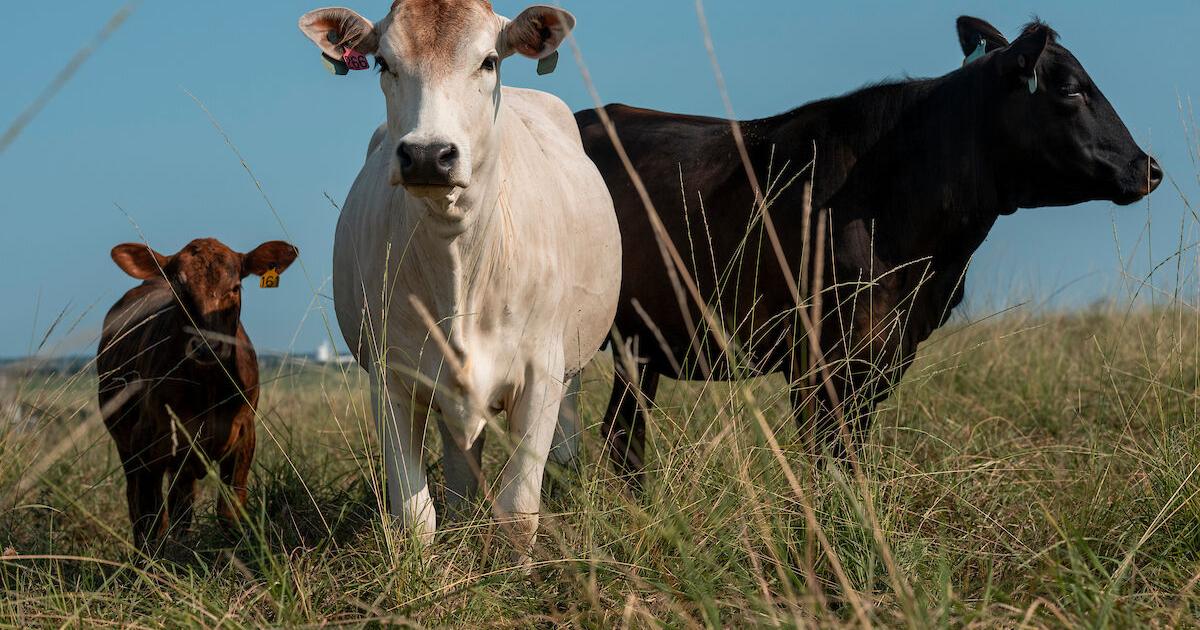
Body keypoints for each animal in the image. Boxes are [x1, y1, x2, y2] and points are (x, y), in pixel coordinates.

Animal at [97, 238, 298, 548]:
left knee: (181, 505)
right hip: (127, 445)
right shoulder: (147, 441)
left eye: (235, 287)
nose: (207, 346)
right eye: (180, 289)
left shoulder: (243, 435)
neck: (207, 387)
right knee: (138, 503)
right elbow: (150, 518)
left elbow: (229, 511)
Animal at [298, 0, 620, 564]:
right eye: (383, 63)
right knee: (460, 464)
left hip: (571, 371)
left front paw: (518, 574)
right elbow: (414, 515)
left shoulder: (541, 373)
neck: (459, 266)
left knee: (563, 443)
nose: (428, 155)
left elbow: (519, 510)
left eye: (489, 60)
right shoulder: (389, 376)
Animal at [576, 17, 1162, 487]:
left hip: (639, 343)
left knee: (622, 438)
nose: (1148, 167)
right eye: (1069, 87)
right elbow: (832, 464)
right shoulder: (819, 357)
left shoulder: (887, 350)